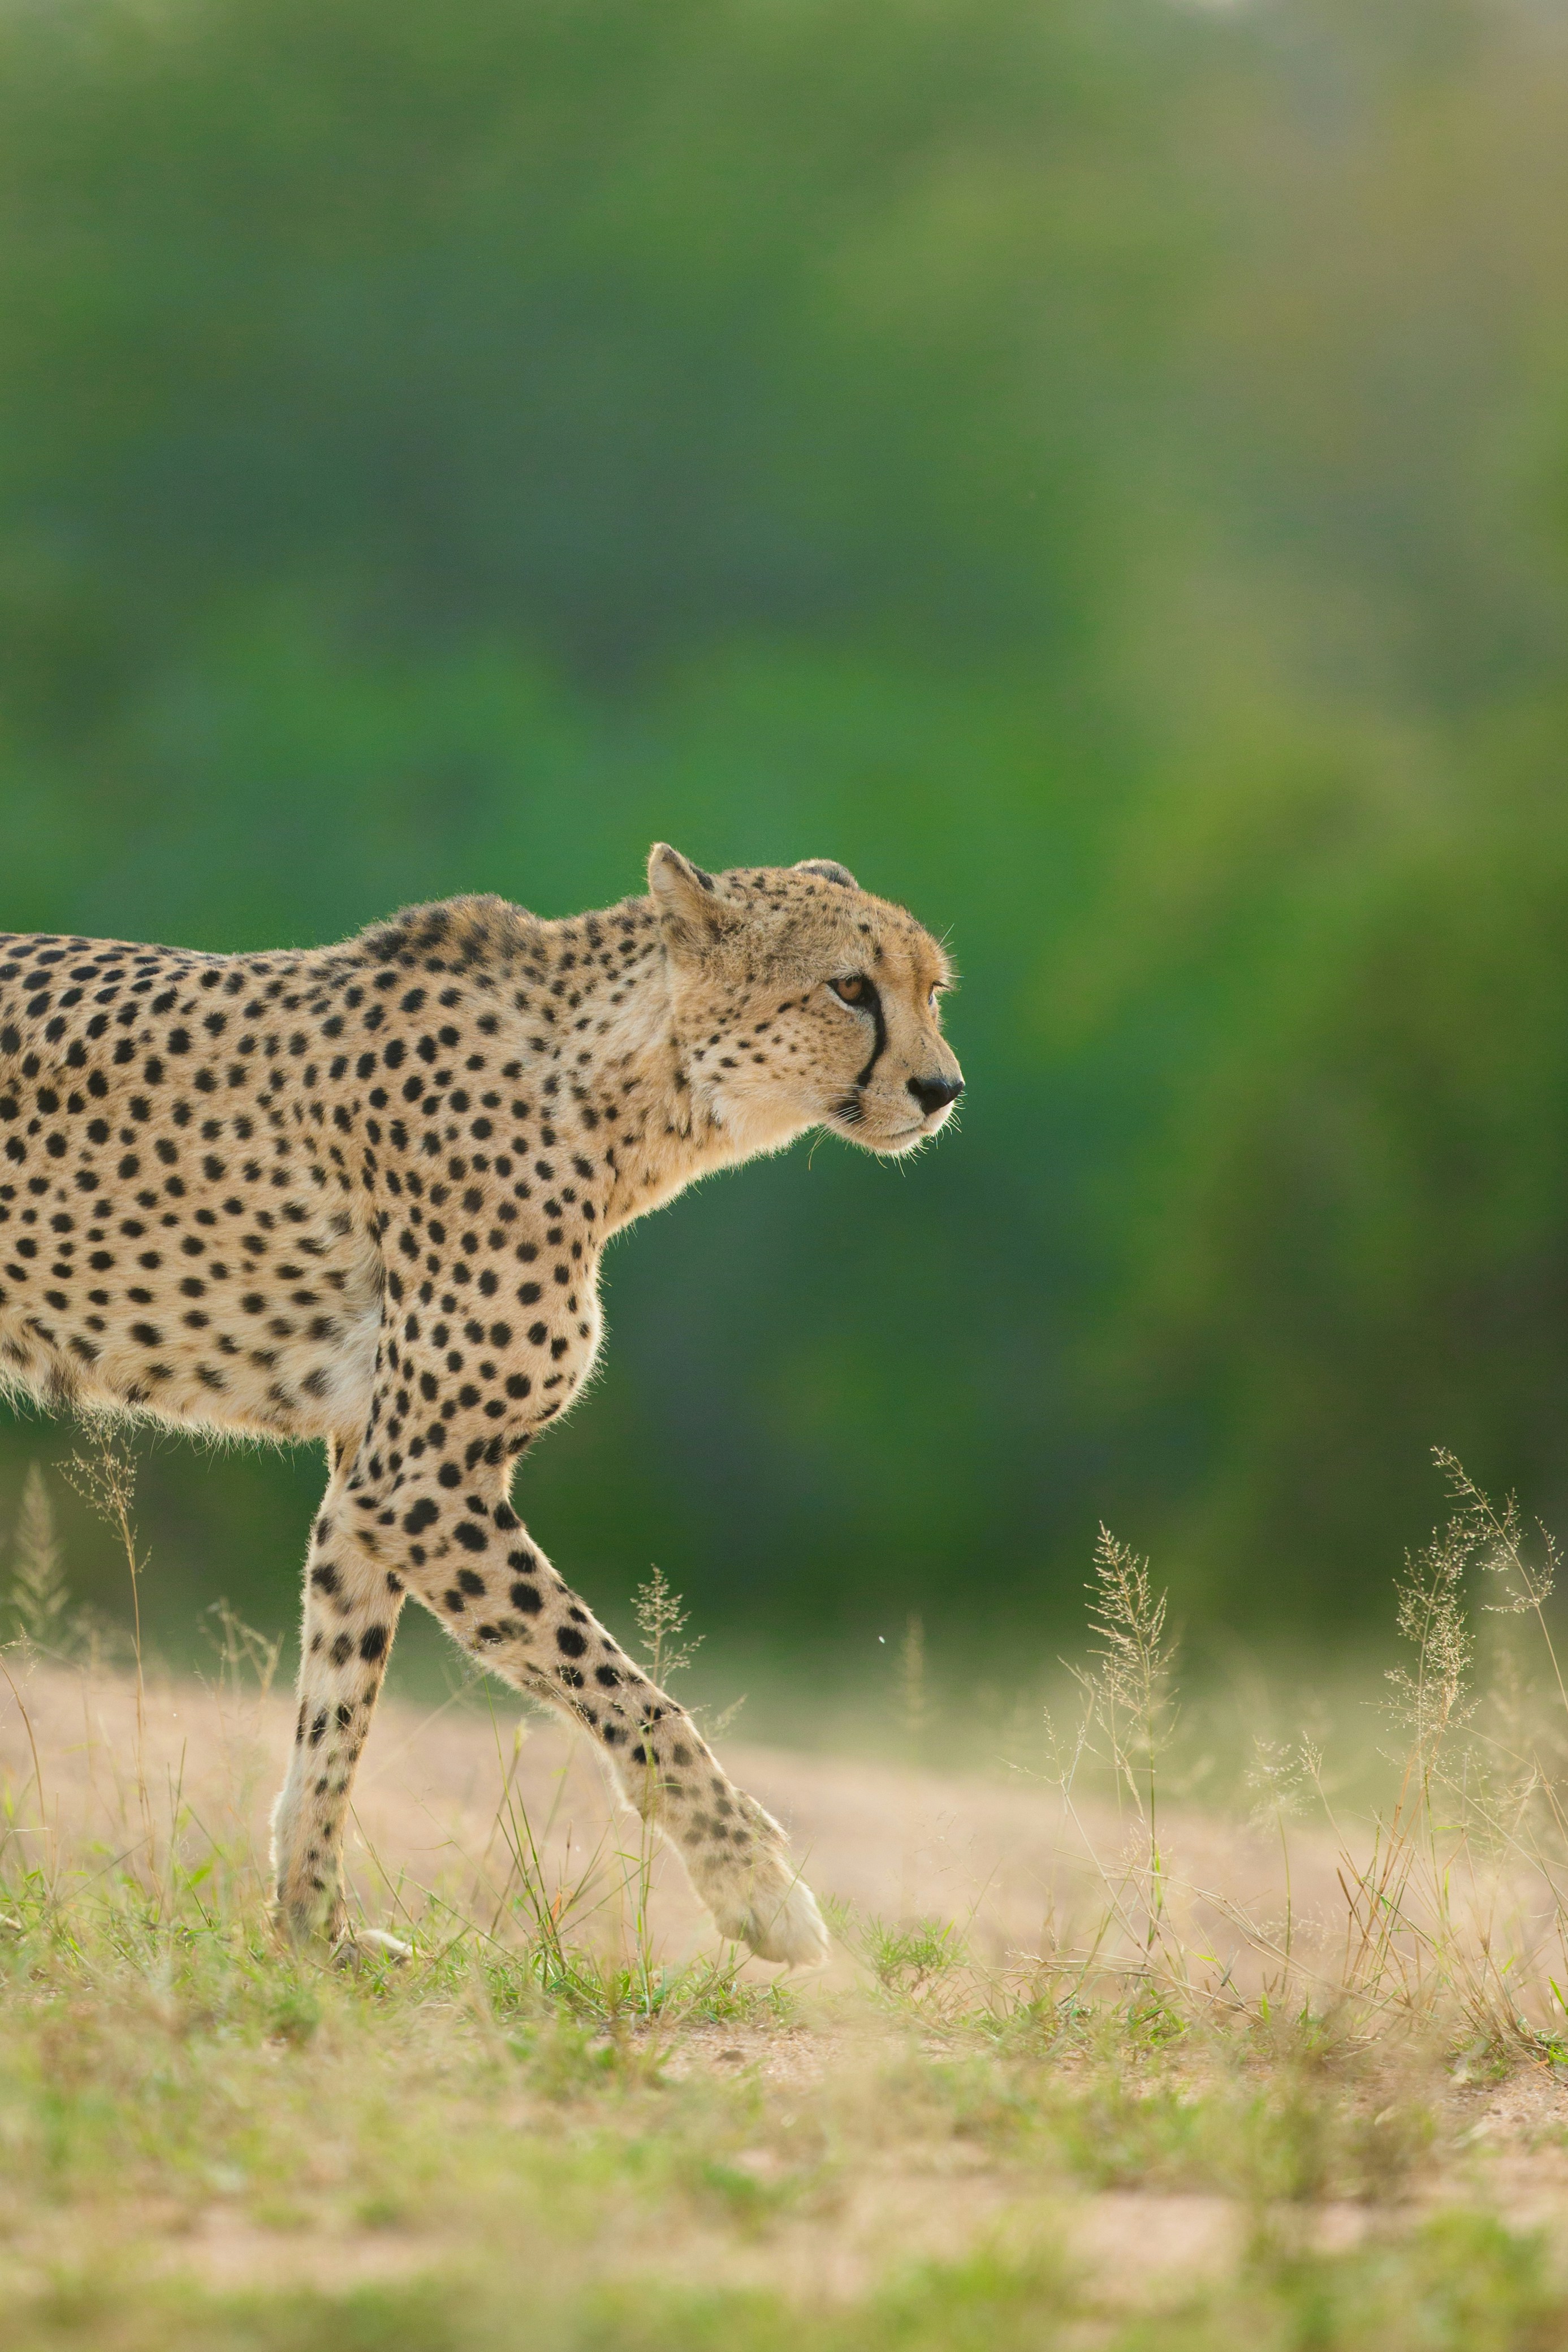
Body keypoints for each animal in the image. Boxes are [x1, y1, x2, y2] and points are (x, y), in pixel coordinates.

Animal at [0, 844, 963, 1965]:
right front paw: (759, 1888)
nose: (942, 1087)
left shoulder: (369, 1476)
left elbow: (335, 1714)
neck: (618, 1089)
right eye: (849, 987)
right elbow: (629, 1691)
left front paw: (312, 1933)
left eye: (930, 990)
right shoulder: (420, 1479)